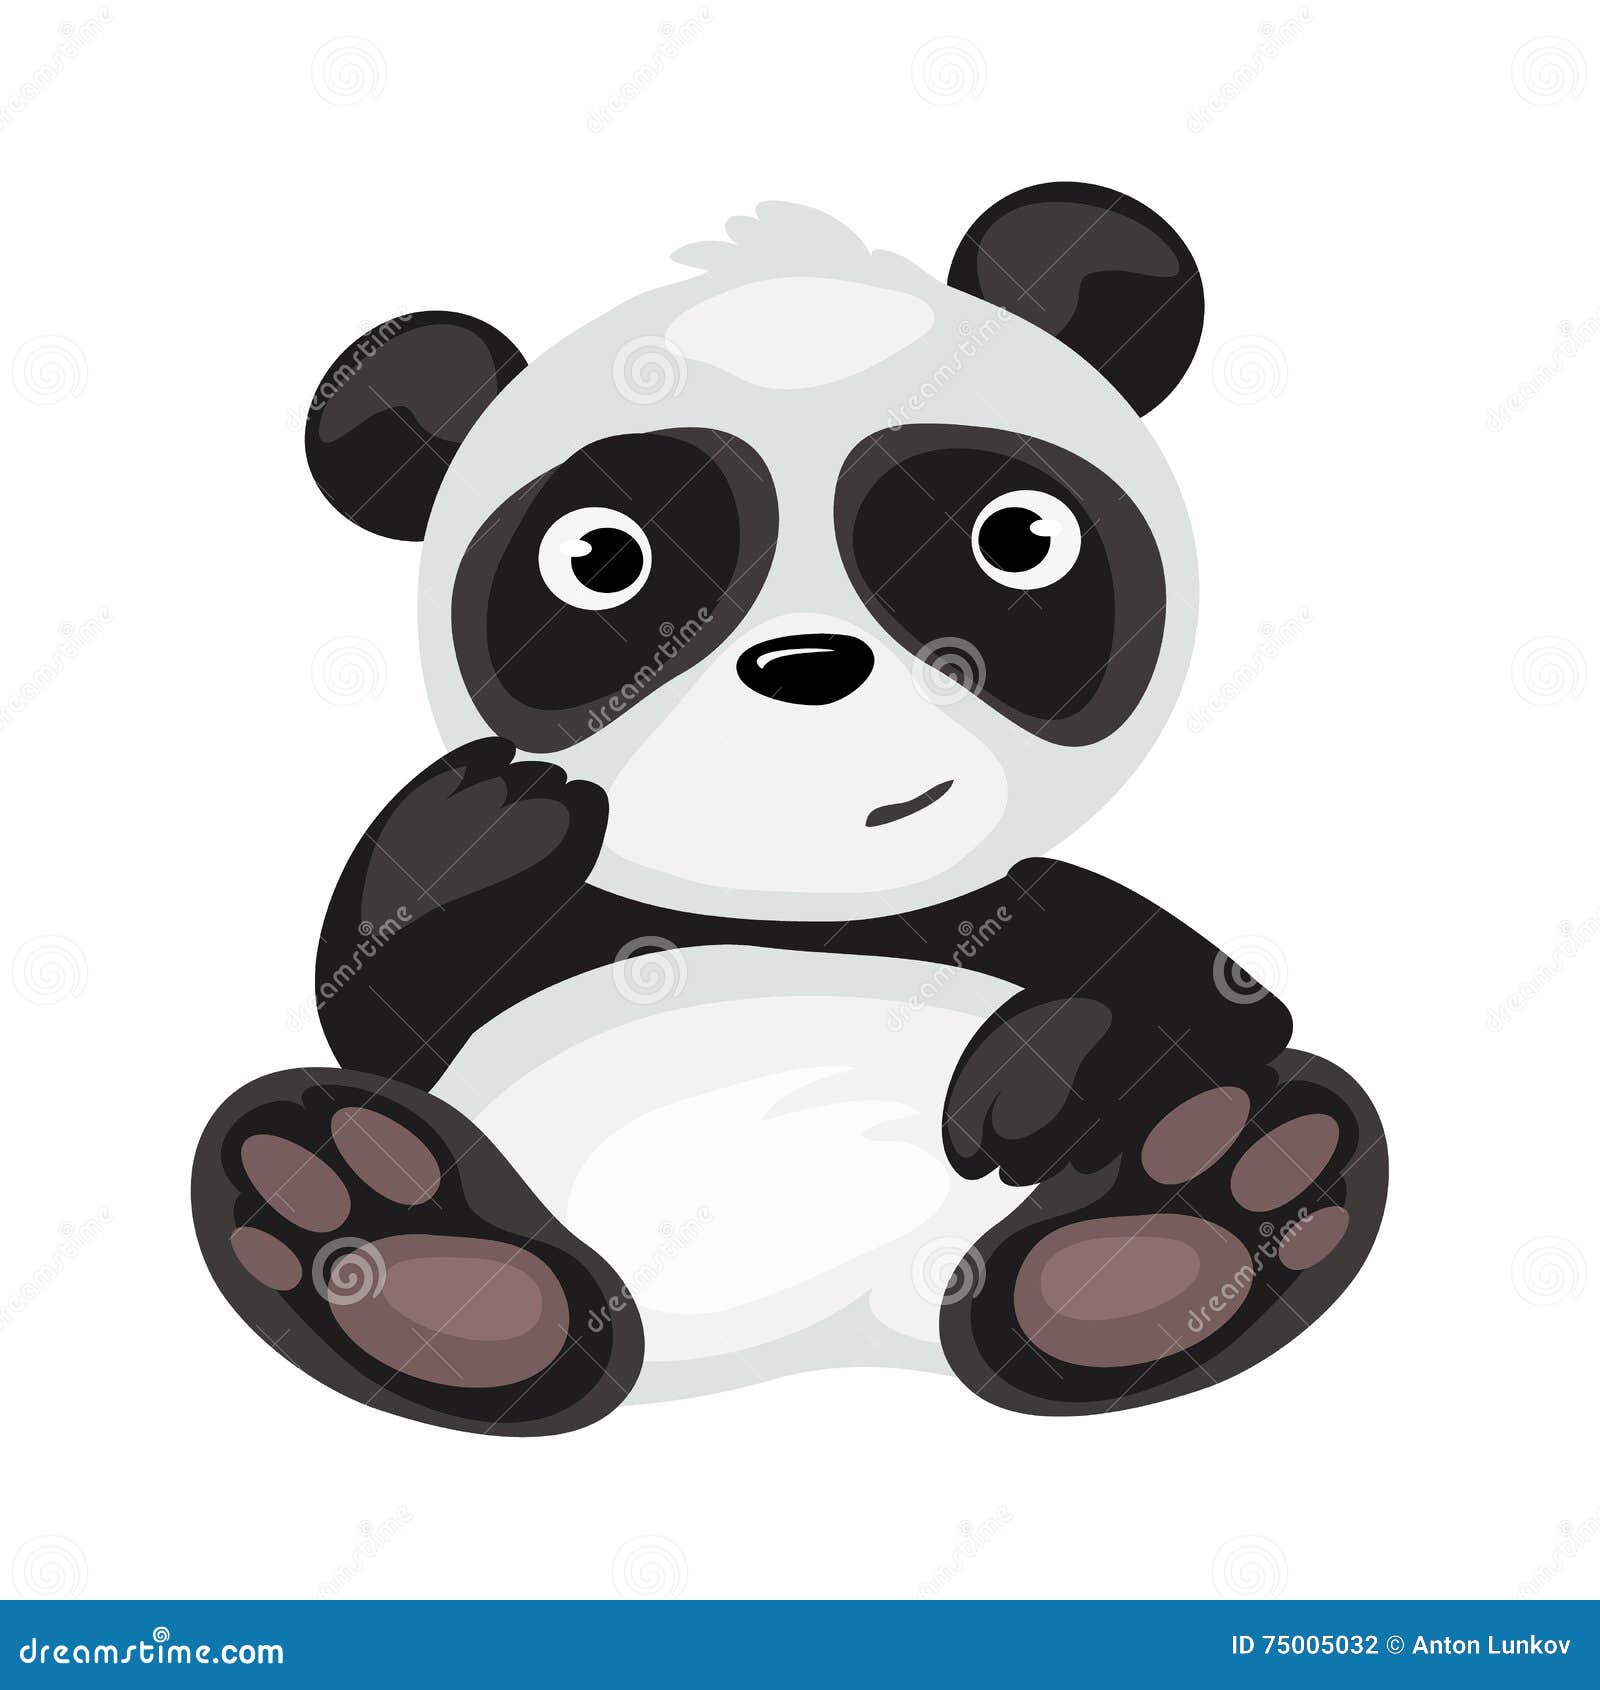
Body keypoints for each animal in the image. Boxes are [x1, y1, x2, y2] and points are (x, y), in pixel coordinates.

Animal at [193, 184, 1387, 1436]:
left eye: (1015, 538)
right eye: (601, 558)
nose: (808, 665)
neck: (793, 907)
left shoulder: (1032, 908)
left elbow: (1224, 1003)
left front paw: (1039, 1068)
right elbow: (378, 1012)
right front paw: (489, 823)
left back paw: (1192, 1214)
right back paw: (393, 1243)